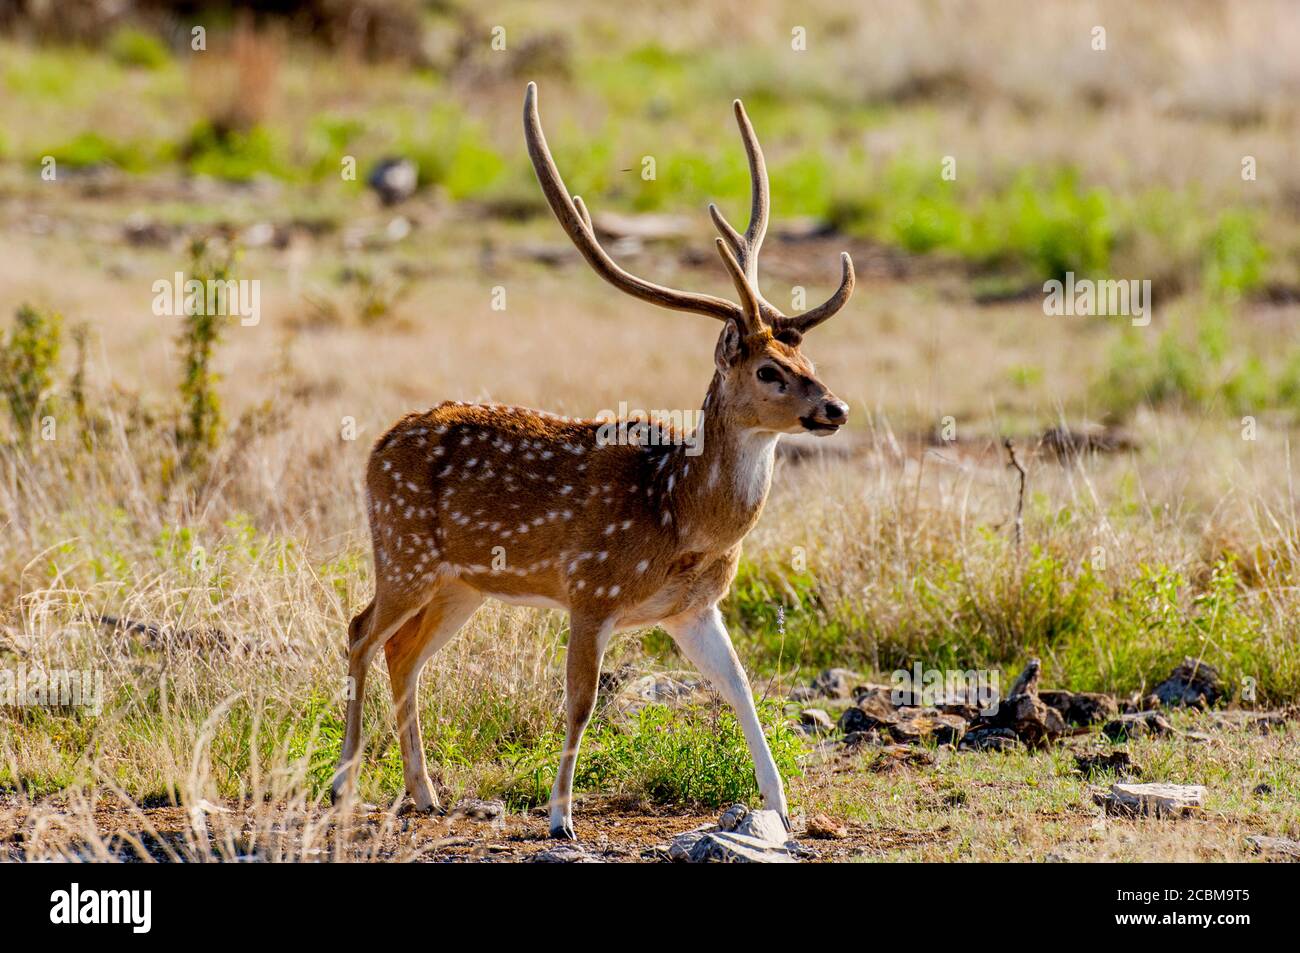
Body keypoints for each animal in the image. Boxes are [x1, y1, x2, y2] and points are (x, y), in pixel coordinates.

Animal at [332, 81, 855, 839]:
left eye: (808, 361)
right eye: (769, 371)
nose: (835, 408)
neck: (680, 514)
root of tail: (377, 444)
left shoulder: (693, 609)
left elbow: (741, 686)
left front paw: (781, 805)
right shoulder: (590, 587)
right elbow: (579, 700)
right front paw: (559, 816)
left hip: (462, 582)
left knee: (403, 652)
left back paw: (425, 792)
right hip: (401, 549)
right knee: (360, 630)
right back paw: (342, 782)